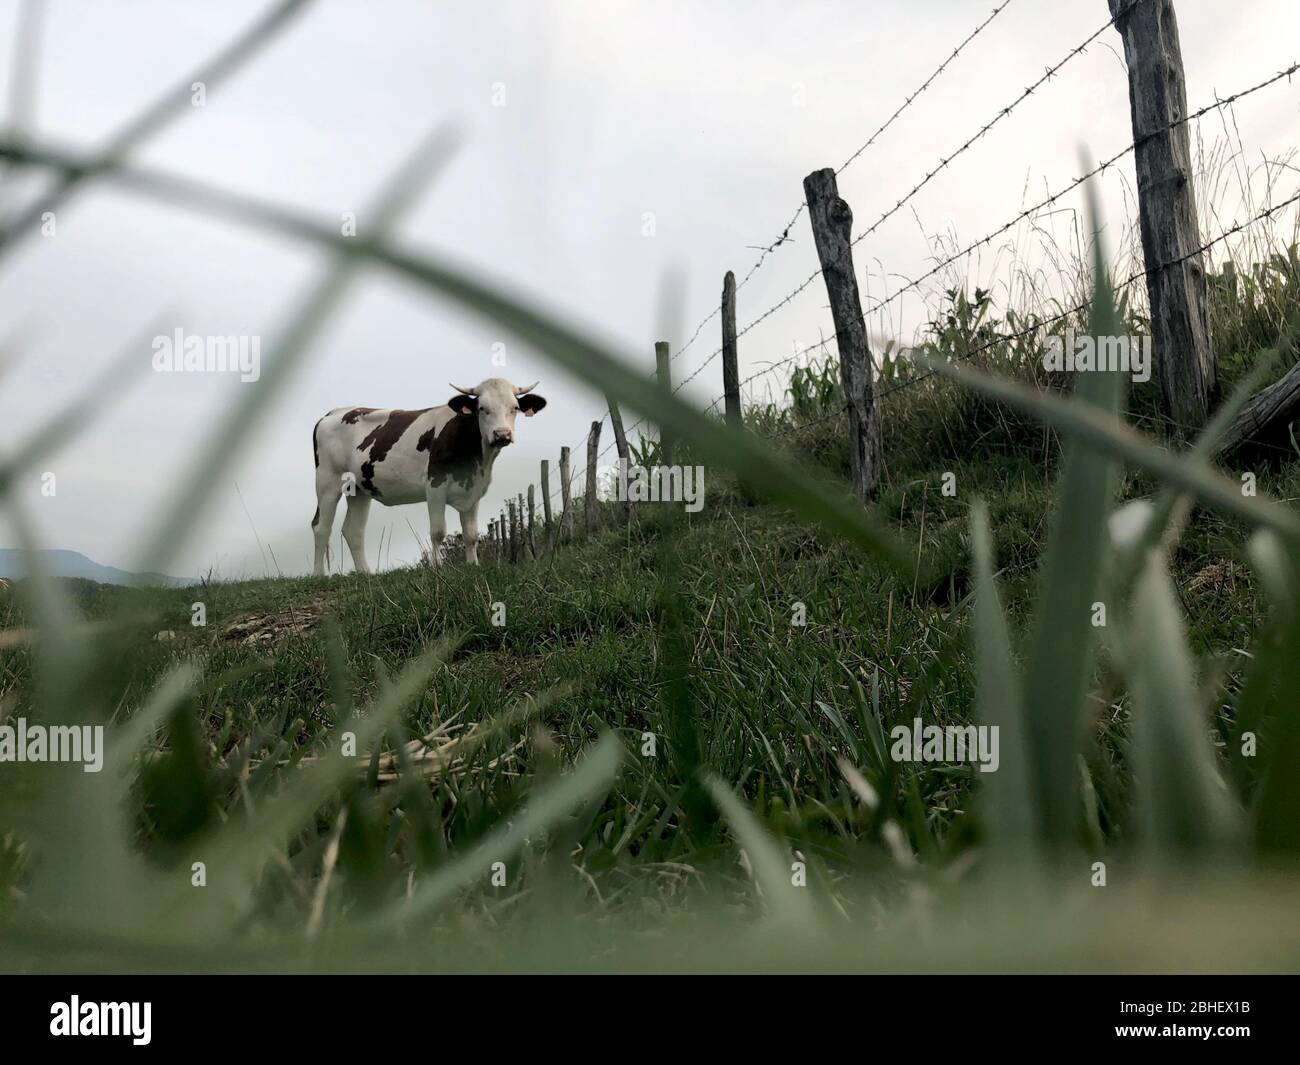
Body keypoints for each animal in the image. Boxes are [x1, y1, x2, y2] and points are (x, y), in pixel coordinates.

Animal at [311, 378, 547, 574]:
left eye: (514, 408)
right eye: (482, 408)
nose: (502, 434)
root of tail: (333, 413)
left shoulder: (474, 490)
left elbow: (471, 534)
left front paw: (473, 565)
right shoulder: (435, 486)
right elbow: (438, 532)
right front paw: (437, 567)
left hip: (359, 489)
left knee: (354, 531)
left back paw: (365, 574)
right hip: (328, 481)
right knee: (321, 527)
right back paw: (320, 575)